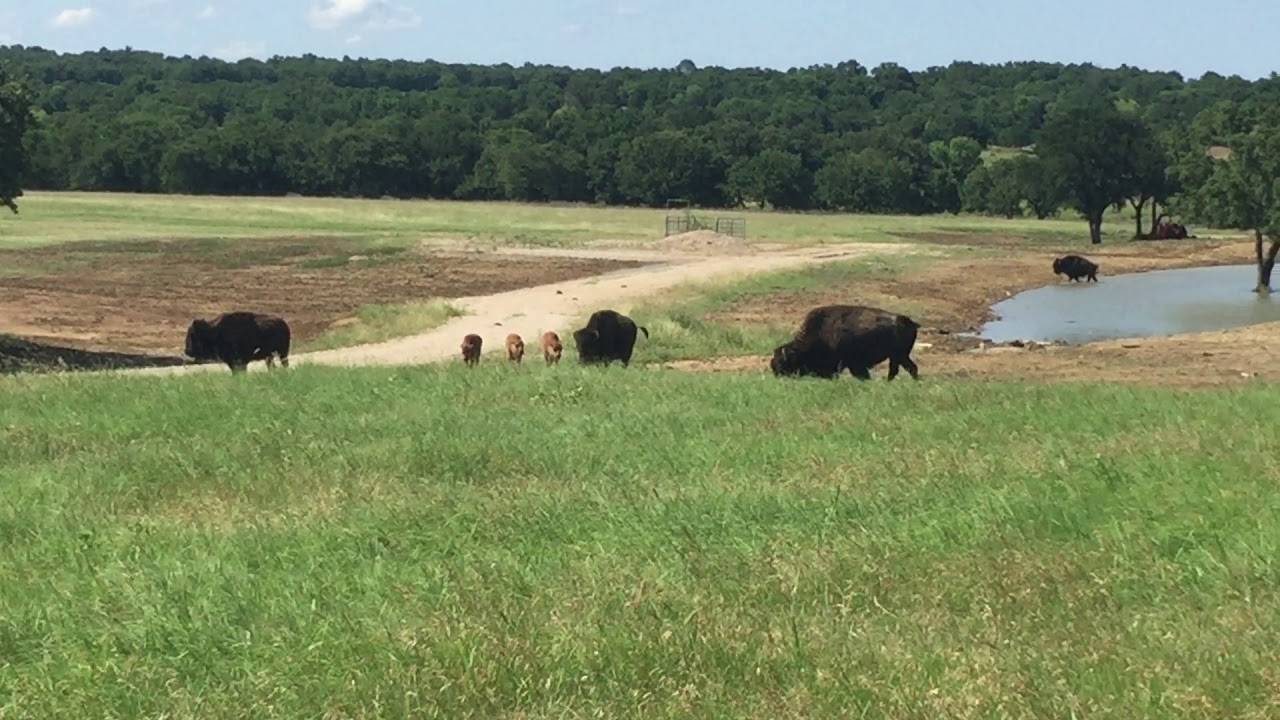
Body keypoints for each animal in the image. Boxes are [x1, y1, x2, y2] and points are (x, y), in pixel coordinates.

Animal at [770, 304, 921, 381]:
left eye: (783, 364)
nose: (778, 376)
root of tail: (908, 322)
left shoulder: (855, 364)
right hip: (898, 356)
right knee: (904, 369)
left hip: (899, 355)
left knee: (906, 368)